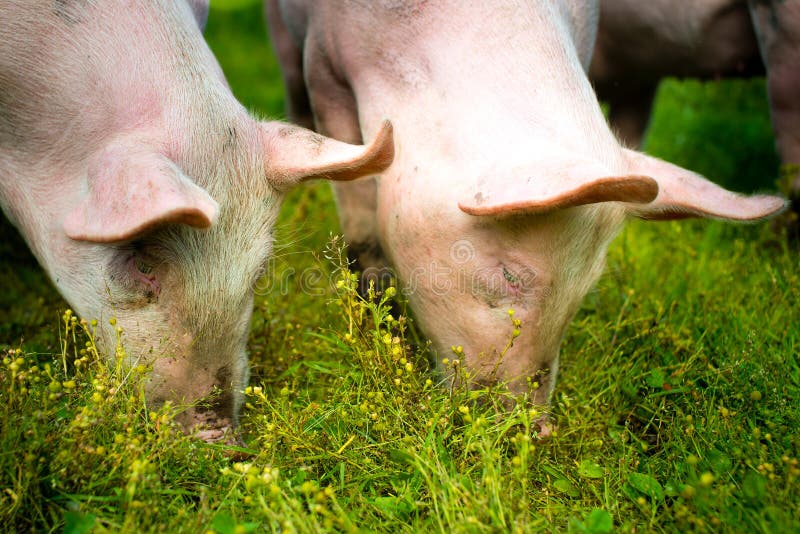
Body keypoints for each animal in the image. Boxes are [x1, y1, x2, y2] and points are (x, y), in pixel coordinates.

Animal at [267, 0, 785, 432]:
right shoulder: (324, 63)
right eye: (511, 275)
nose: (537, 430)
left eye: (588, 283)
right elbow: (358, 211)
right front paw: (377, 316)